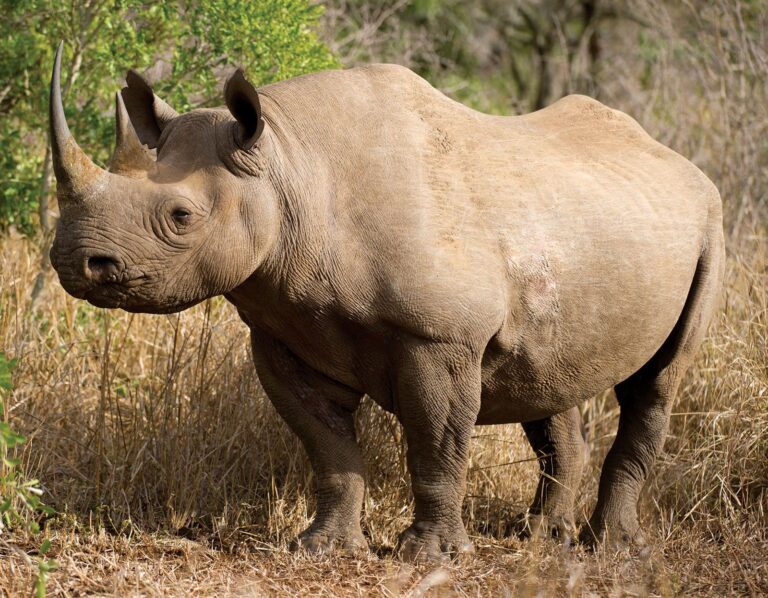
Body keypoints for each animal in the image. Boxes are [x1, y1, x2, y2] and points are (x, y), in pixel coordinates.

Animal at [48, 42, 724, 560]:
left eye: (181, 217)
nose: (76, 262)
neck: (289, 167)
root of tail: (676, 158)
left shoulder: (439, 336)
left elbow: (434, 446)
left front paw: (431, 557)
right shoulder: (286, 331)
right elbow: (327, 447)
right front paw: (320, 548)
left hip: (708, 224)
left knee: (658, 382)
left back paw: (611, 549)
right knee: (549, 376)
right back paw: (539, 537)